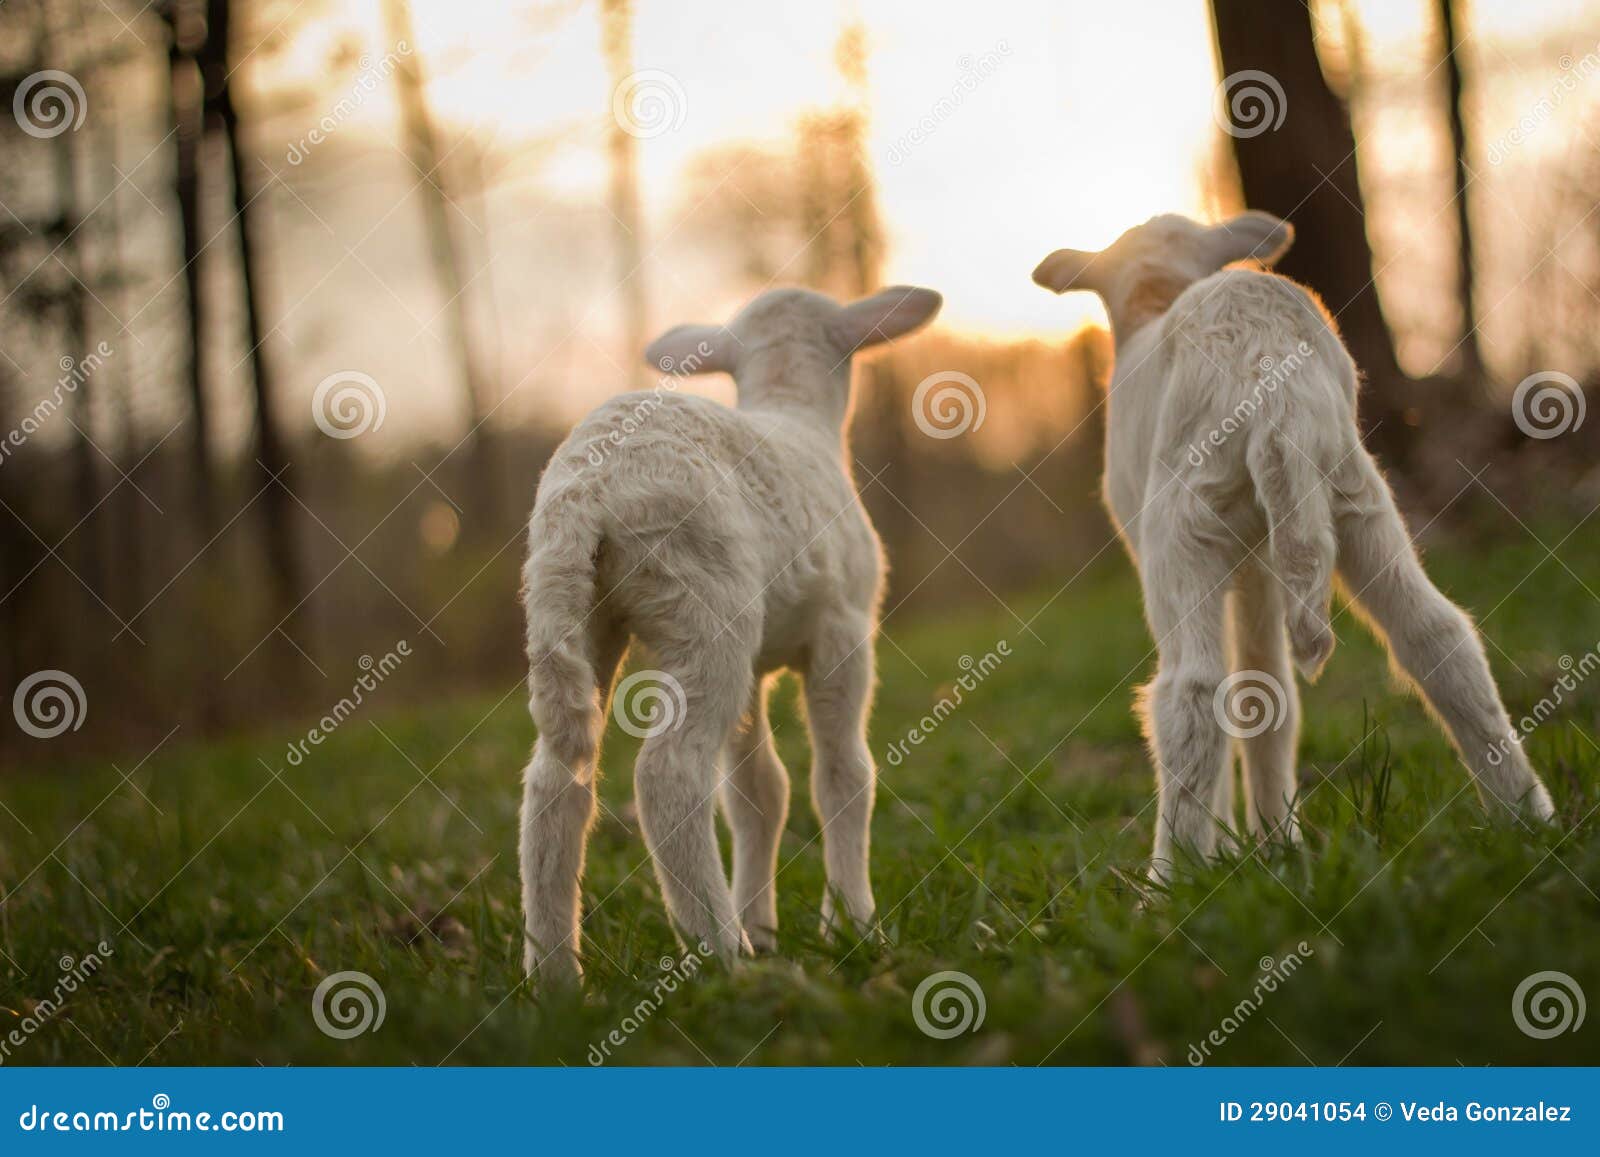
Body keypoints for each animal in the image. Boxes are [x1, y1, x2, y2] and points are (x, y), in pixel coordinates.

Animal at [519, 284, 942, 983]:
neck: (792, 406)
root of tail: (586, 490)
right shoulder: (843, 631)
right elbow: (842, 776)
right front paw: (851, 925)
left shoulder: (759, 665)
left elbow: (758, 791)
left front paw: (766, 924)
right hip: (706, 606)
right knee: (670, 773)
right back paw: (721, 951)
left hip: (571, 609)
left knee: (557, 777)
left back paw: (555, 977)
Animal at [1031, 211, 1554, 881]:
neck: (1154, 291)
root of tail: (1270, 372)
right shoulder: (1259, 563)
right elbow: (1266, 690)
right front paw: (1274, 842)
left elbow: (1242, 689)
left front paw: (1232, 847)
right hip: (1353, 493)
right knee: (1435, 634)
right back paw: (1528, 821)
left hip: (1183, 520)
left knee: (1192, 688)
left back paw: (1172, 882)